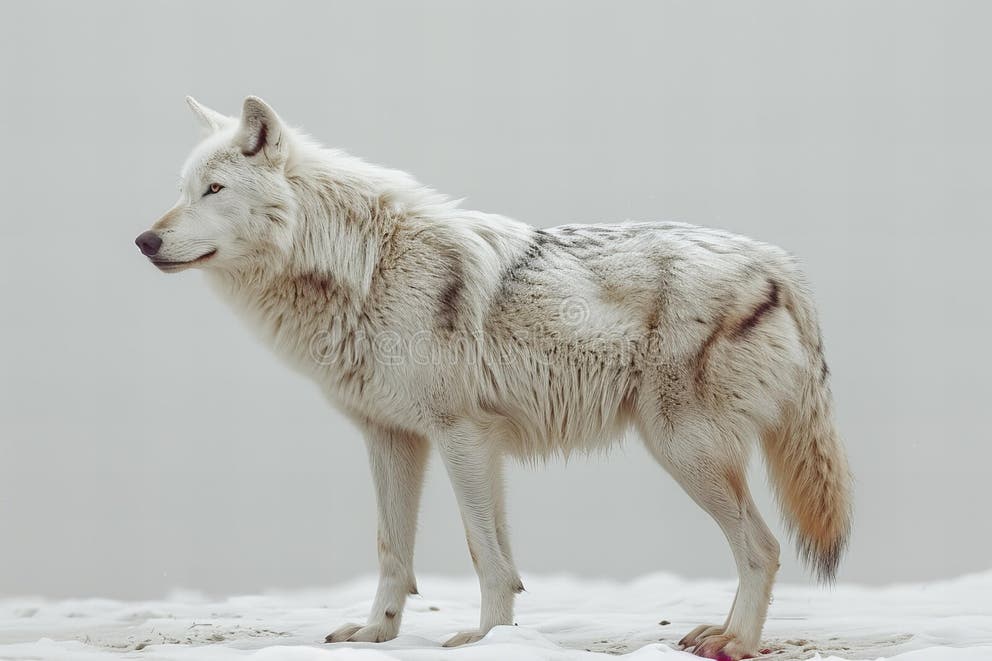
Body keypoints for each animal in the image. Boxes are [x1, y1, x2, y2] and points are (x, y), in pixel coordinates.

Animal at [135, 96, 852, 660]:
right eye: (182, 190)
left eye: (215, 191)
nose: (144, 240)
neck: (362, 266)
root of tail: (780, 265)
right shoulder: (395, 438)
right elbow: (395, 550)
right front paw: (378, 635)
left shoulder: (463, 435)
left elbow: (485, 553)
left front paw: (483, 642)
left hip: (684, 451)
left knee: (762, 547)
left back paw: (734, 642)